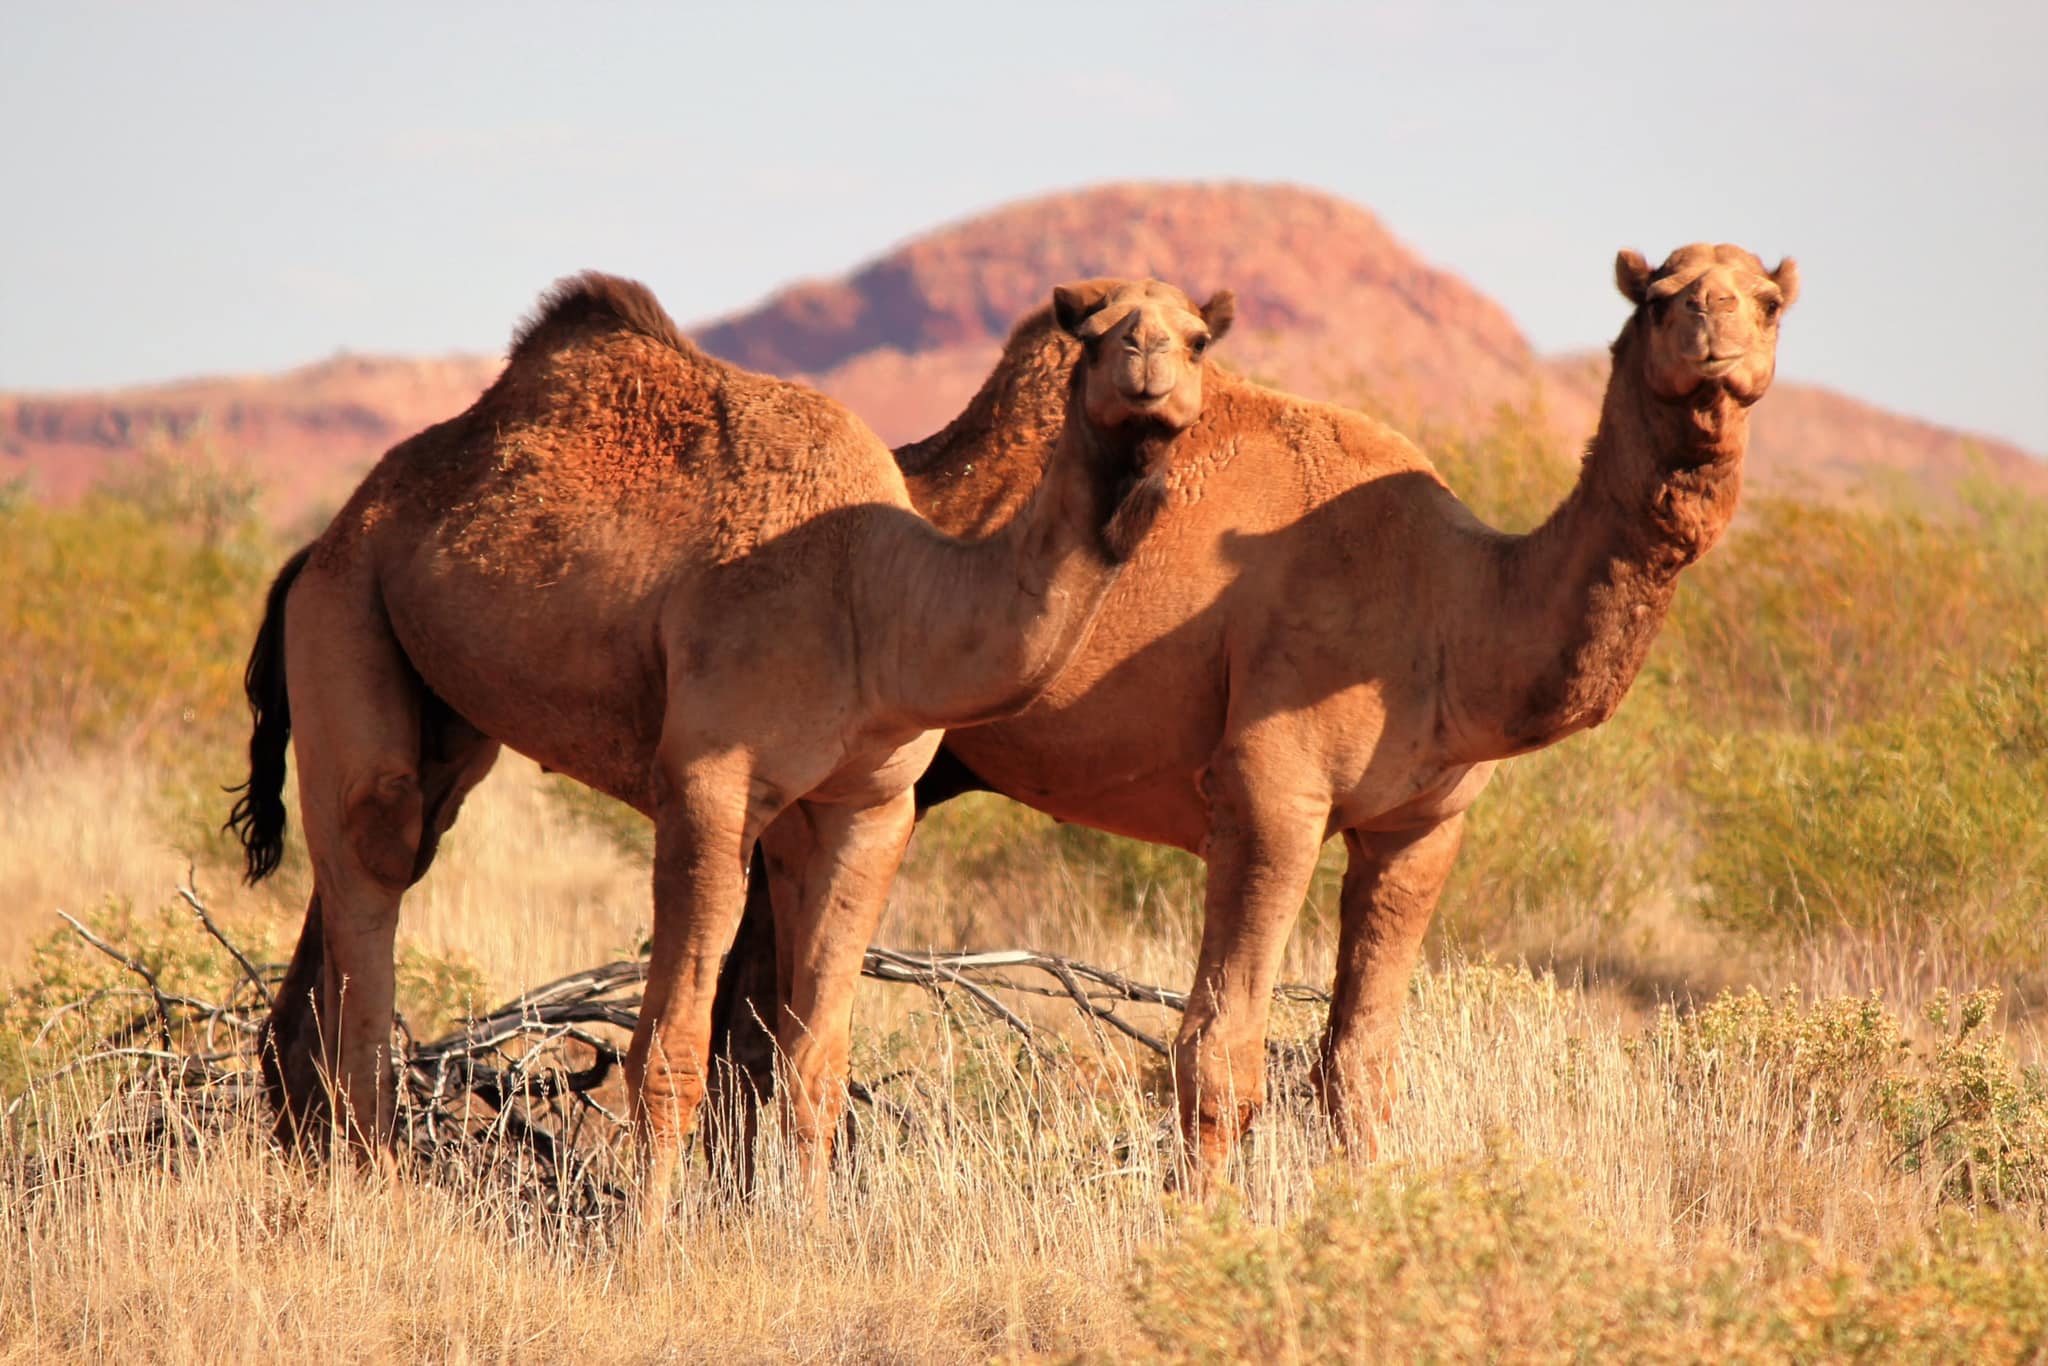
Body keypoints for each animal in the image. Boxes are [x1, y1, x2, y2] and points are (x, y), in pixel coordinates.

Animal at [226, 271, 1235, 1219]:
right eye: (1097, 333)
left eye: (1197, 339)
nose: (1149, 367)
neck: (881, 599)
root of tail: (317, 544)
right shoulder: (708, 786)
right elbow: (670, 1048)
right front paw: (646, 1244)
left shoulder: (871, 803)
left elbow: (818, 1060)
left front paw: (814, 1235)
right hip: (345, 613)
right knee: (374, 848)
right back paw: (371, 1184)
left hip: (441, 708)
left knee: (369, 880)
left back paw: (317, 1159)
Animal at [716, 243, 1797, 1191]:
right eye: (1659, 298)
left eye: (1768, 300)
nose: (1714, 334)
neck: (1454, 598)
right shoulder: (1269, 789)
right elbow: (1217, 1046)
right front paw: (1200, 1224)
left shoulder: (1422, 823)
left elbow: (1359, 1057)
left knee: (750, 992)